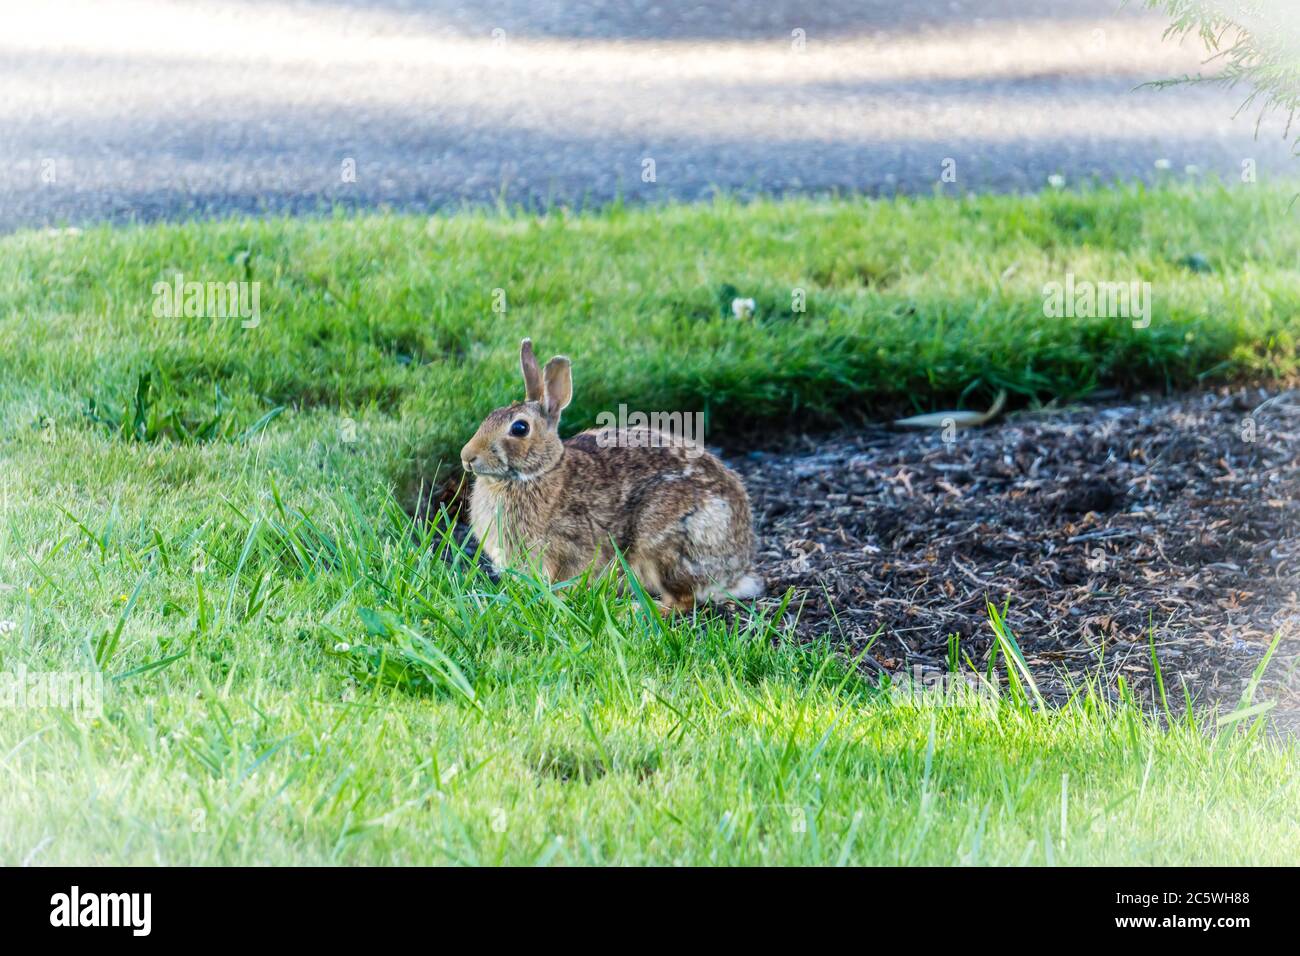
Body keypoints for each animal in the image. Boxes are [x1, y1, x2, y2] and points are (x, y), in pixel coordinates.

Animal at [460, 338, 764, 611]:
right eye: (490, 416)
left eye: (520, 428)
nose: (467, 457)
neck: (537, 474)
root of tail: (735, 571)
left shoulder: (566, 548)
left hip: (664, 543)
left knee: (684, 601)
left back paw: (635, 609)